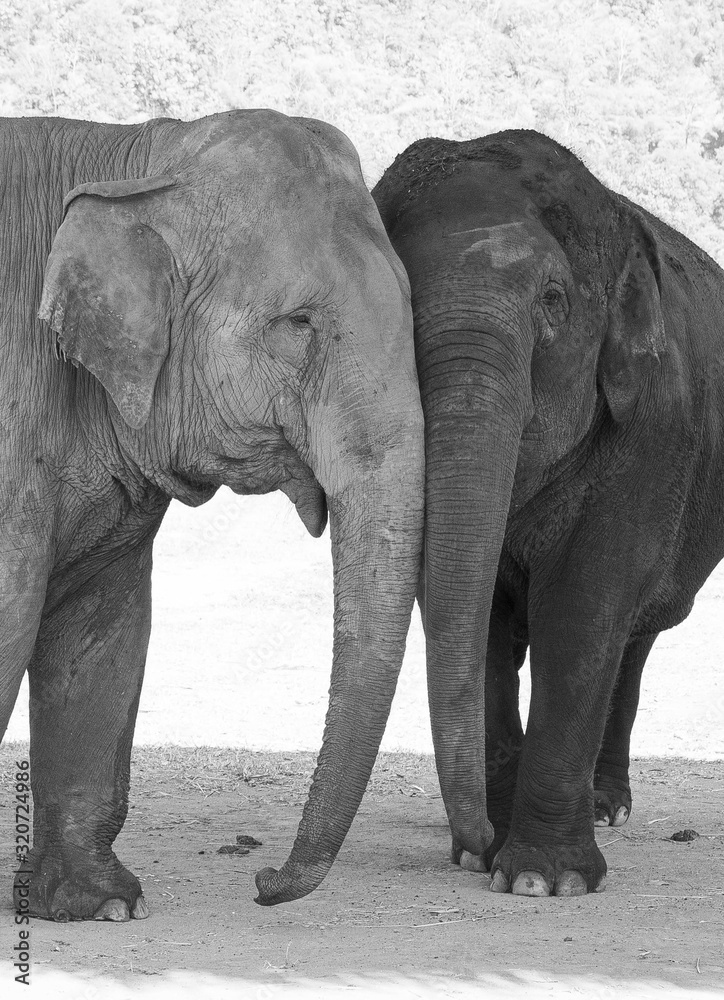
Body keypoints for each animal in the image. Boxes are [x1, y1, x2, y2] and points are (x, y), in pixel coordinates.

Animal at [373, 129, 724, 897]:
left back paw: (606, 806)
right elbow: (477, 613)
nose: (472, 839)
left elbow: (585, 604)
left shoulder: (651, 427)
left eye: (555, 300)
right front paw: (487, 853)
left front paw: (541, 879)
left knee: (636, 636)